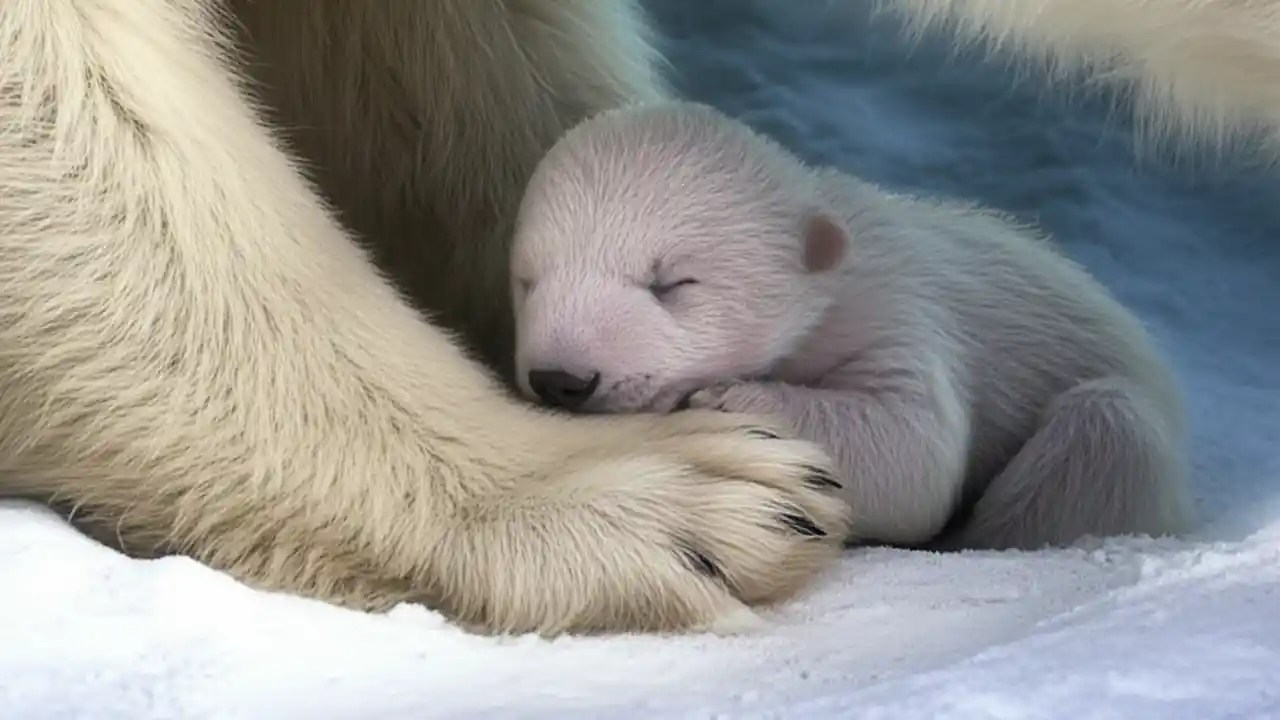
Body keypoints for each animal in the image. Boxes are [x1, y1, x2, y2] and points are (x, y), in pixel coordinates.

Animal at [510, 100, 1194, 550]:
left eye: (672, 282)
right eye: (527, 279)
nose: (562, 379)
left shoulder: (896, 315)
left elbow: (913, 448)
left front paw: (728, 401)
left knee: (1104, 427)